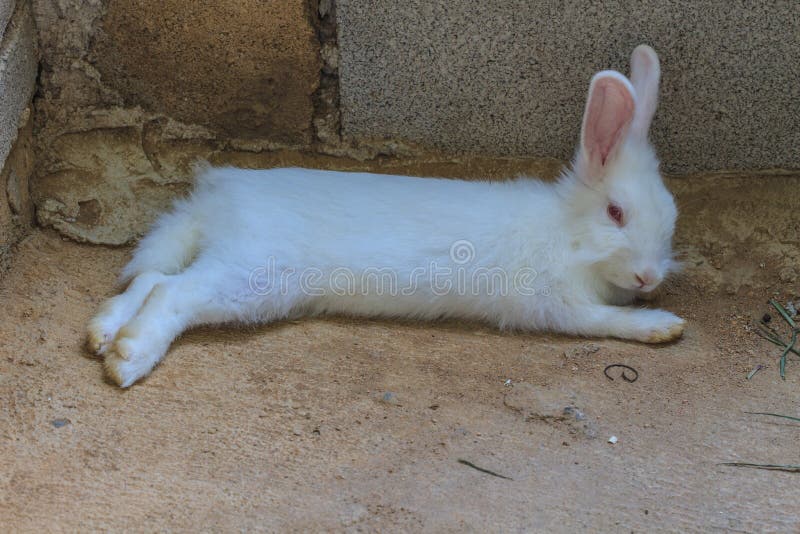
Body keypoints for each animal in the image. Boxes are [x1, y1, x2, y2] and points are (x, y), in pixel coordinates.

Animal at [88, 44, 683, 387]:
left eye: (671, 214)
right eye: (616, 212)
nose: (649, 277)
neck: (568, 236)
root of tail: (217, 200)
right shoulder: (552, 304)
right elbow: (604, 322)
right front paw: (663, 327)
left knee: (150, 279)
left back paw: (102, 336)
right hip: (254, 276)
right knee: (171, 292)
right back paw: (128, 359)